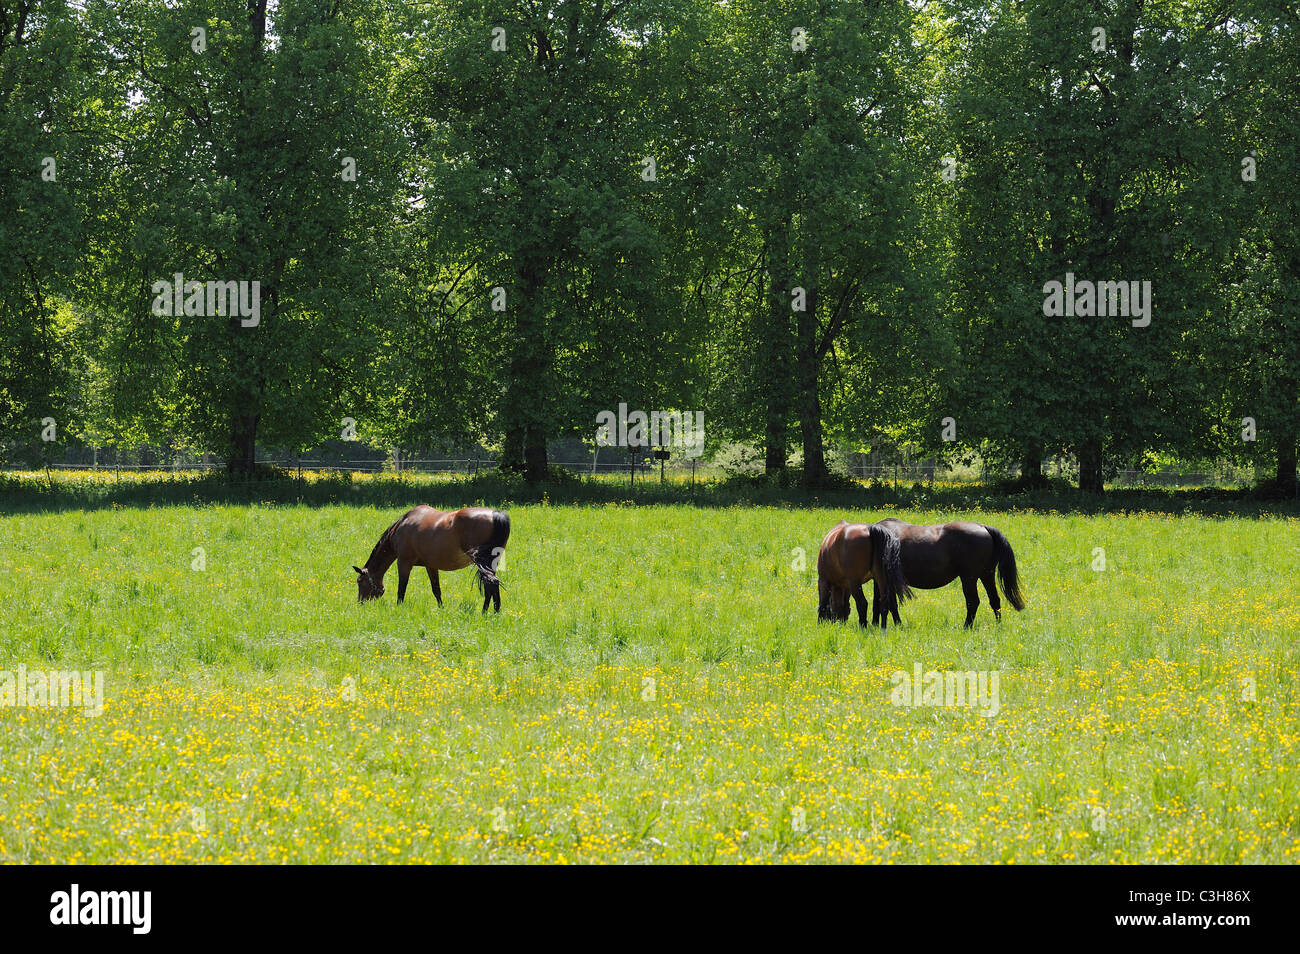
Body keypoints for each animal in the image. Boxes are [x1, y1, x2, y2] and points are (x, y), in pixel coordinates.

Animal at [353, 506, 510, 612]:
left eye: (360, 581)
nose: (360, 603)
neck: (401, 526)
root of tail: (496, 514)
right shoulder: (431, 566)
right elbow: (436, 590)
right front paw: (441, 609)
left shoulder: (404, 562)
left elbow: (401, 588)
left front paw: (399, 607)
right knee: (492, 584)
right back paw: (493, 613)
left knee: (491, 583)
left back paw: (486, 612)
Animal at [870, 518, 1025, 629]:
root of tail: (983, 527)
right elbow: (878, 602)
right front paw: (876, 624)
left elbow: (890, 604)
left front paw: (897, 625)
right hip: (986, 575)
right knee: (994, 600)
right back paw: (998, 625)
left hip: (969, 578)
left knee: (973, 601)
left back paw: (966, 626)